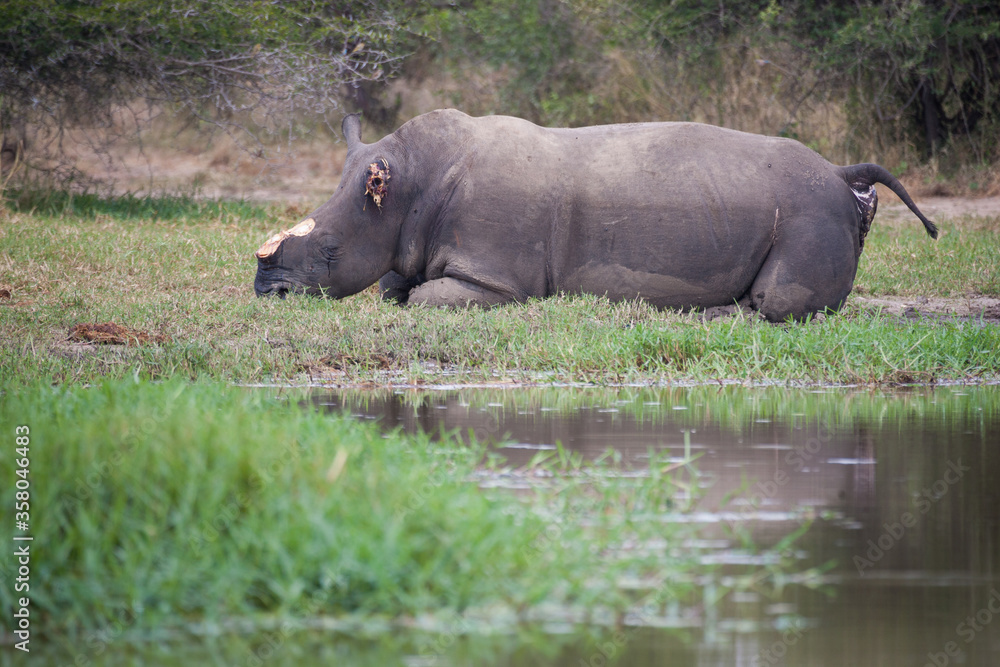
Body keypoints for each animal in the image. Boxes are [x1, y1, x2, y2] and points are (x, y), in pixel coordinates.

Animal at [254, 109, 937, 321]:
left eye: (329, 254)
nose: (267, 290)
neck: (410, 182)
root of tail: (839, 175)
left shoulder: (494, 278)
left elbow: (422, 299)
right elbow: (396, 285)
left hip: (808, 212)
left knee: (778, 302)